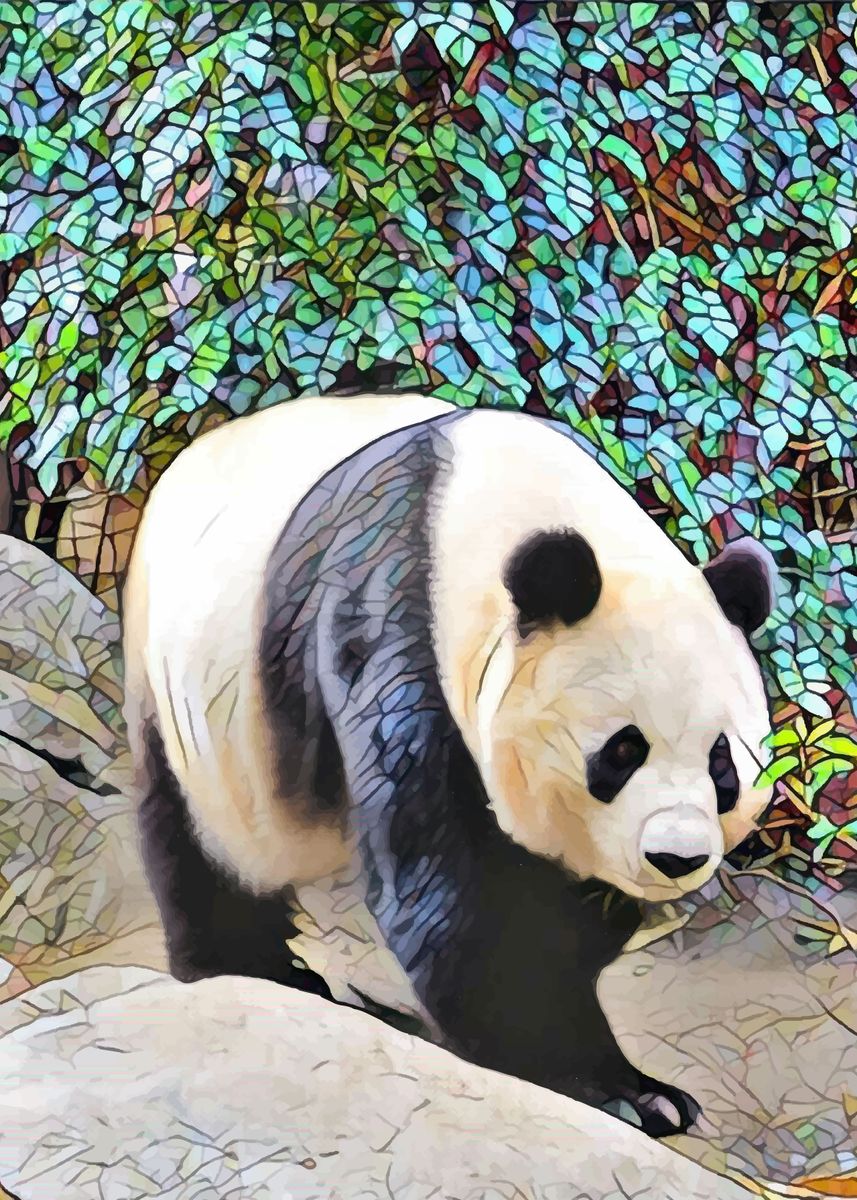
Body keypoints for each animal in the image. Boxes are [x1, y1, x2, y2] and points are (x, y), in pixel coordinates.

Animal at [123, 391, 776, 1139]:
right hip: (187, 695)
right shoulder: (391, 628)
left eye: (723, 765)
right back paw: (250, 967)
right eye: (620, 751)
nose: (676, 857)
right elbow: (457, 897)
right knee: (195, 835)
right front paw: (624, 1091)